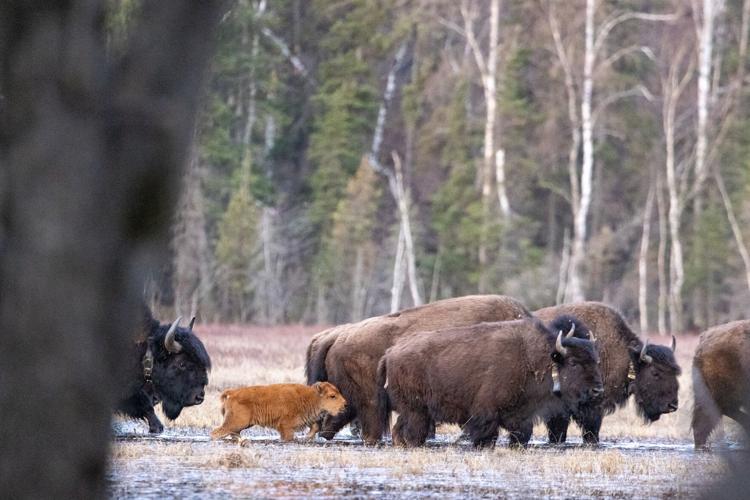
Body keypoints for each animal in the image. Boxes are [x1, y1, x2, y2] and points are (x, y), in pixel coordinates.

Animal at [379, 315, 603, 448]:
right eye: (573, 362)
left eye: (596, 360)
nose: (597, 389)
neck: (530, 358)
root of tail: (390, 353)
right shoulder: (486, 415)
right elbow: (487, 437)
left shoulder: (522, 416)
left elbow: (522, 435)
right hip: (416, 411)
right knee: (411, 433)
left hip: (413, 411)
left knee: (398, 430)